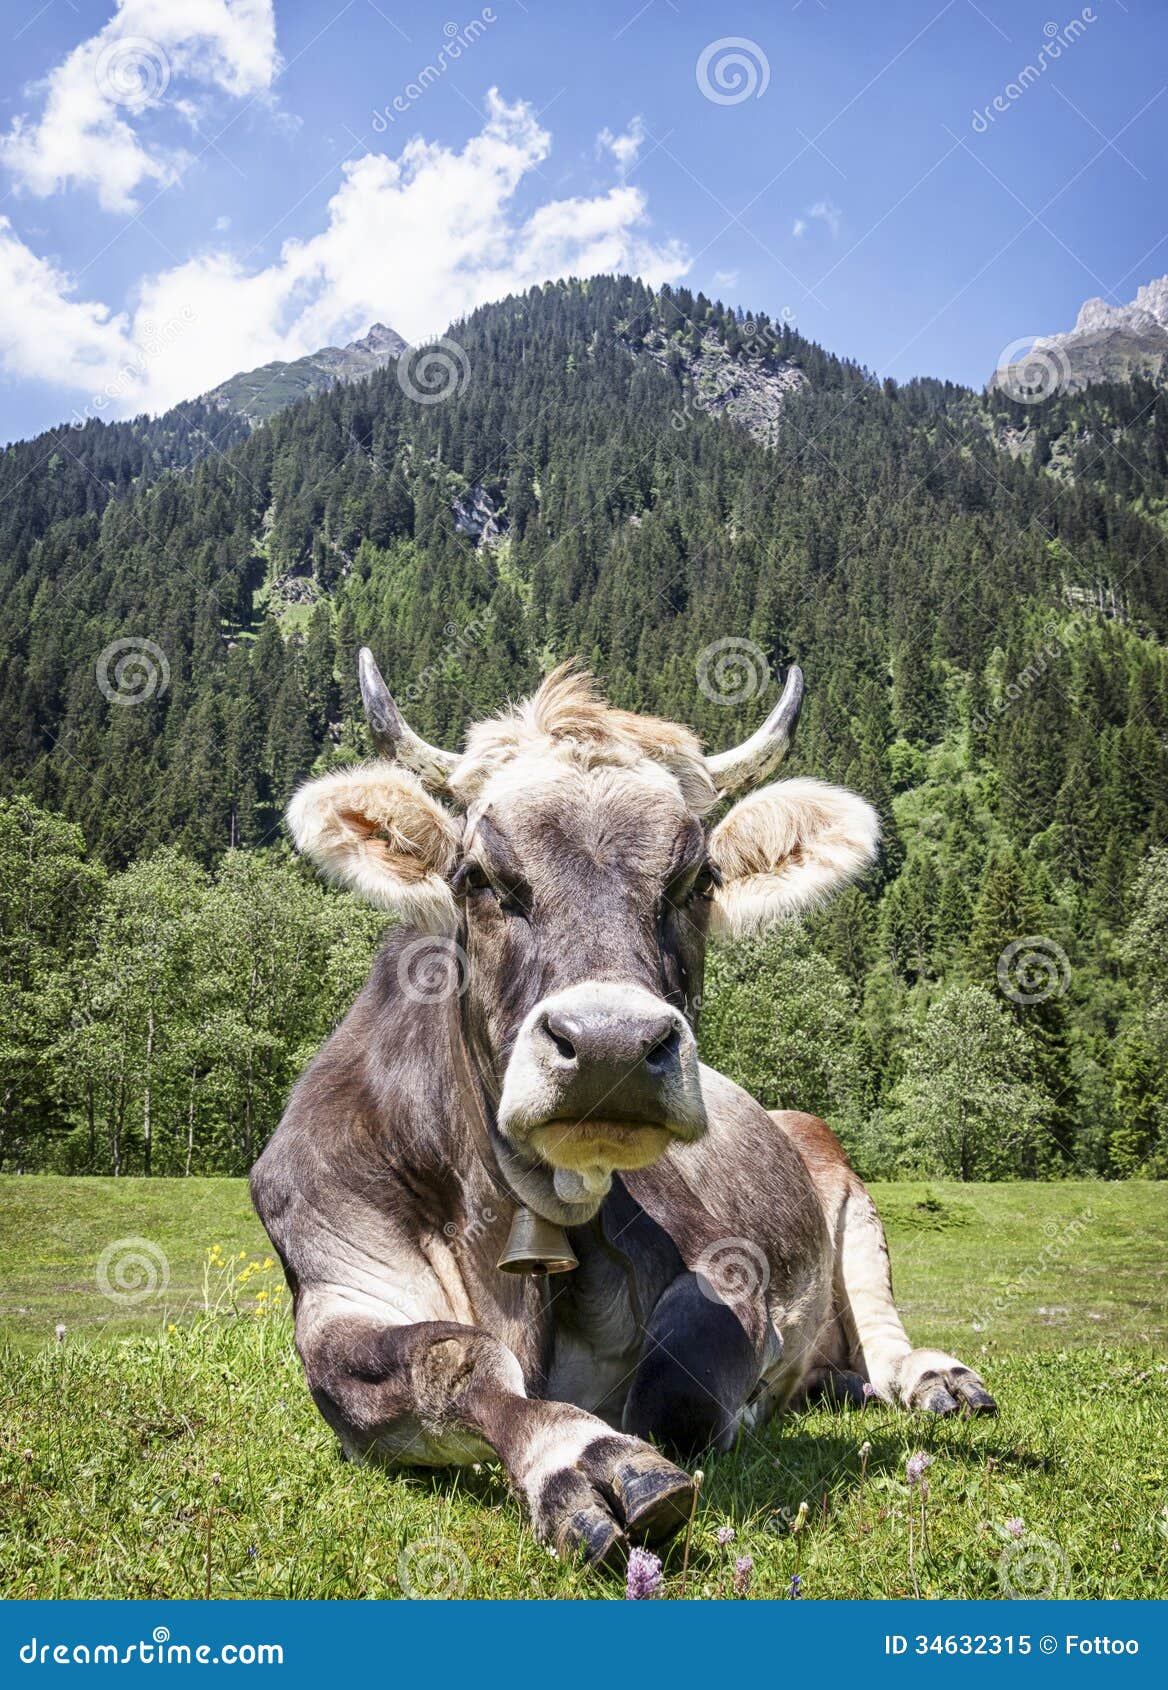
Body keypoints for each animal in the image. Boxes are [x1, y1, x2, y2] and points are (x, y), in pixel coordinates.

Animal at [250, 653, 996, 1571]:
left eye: (699, 880)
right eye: (478, 878)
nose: (610, 1046)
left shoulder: (728, 1268)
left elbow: (676, 1393)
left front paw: (732, 1408)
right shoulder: (338, 1286)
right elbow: (447, 1360)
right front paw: (575, 1453)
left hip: (848, 1197)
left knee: (883, 1335)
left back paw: (930, 1379)